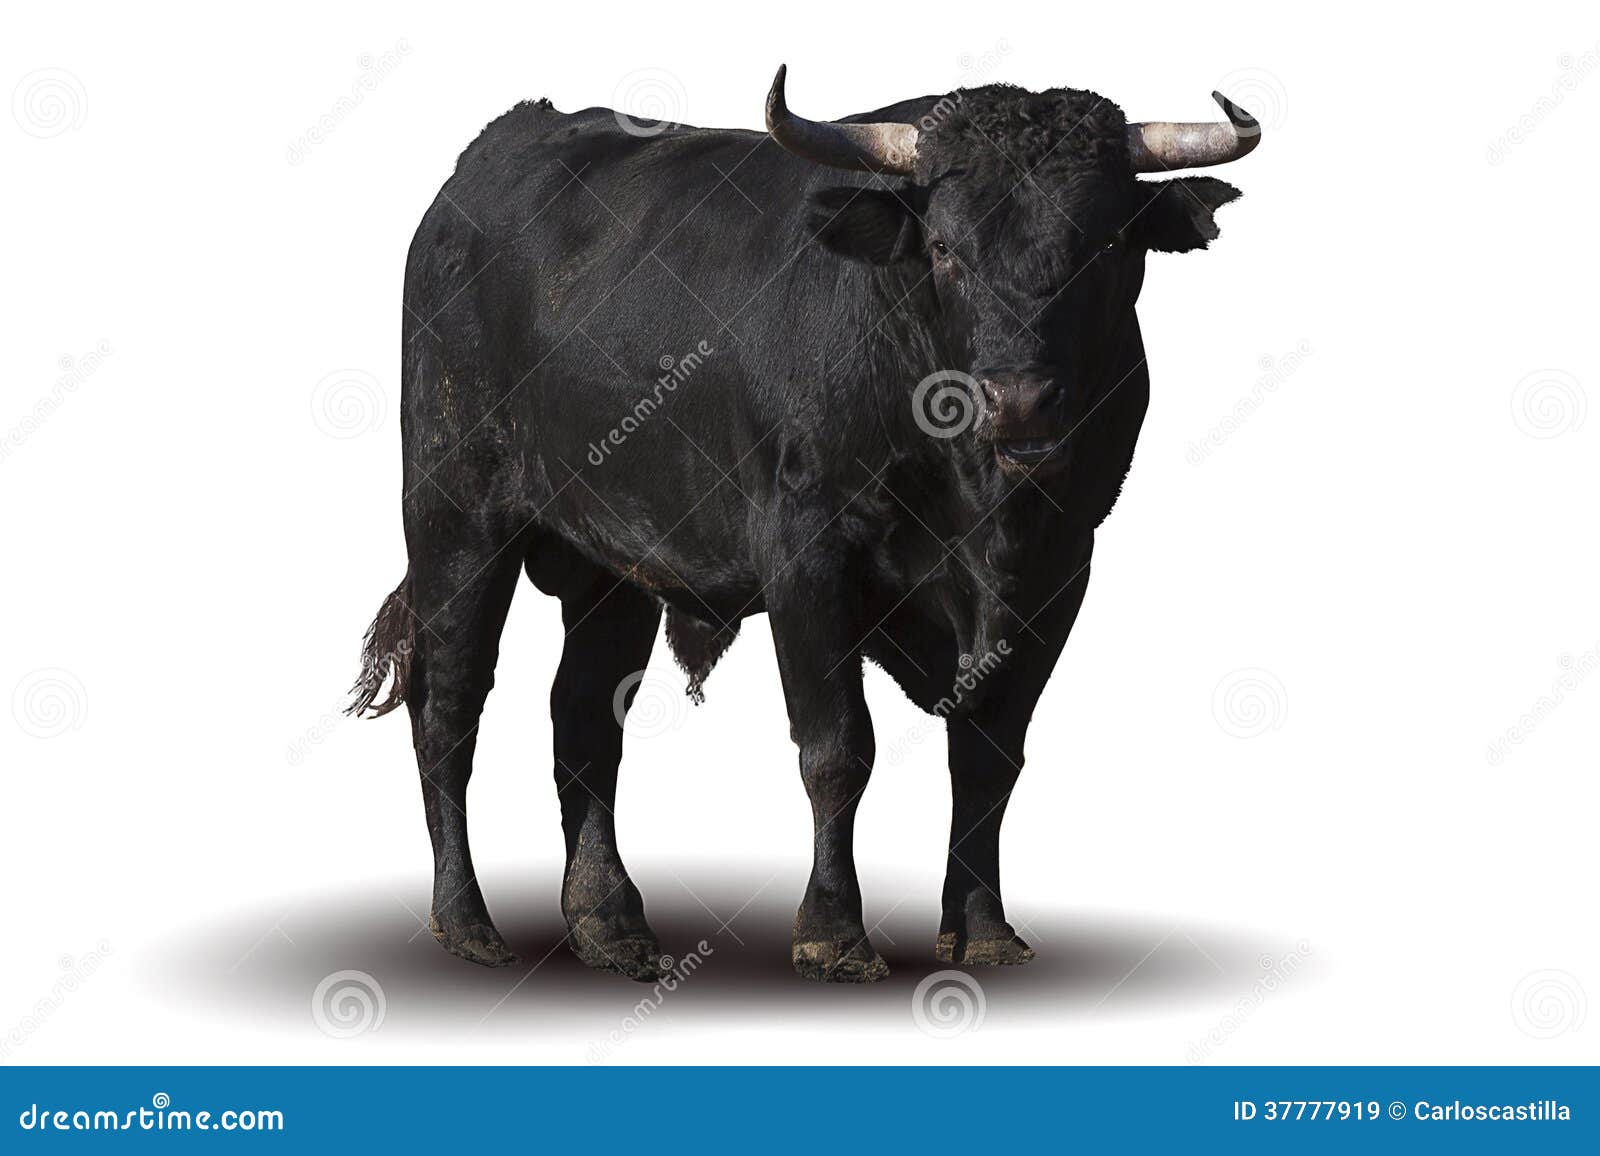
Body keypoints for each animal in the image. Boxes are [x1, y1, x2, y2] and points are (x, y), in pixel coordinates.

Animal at [348, 65, 1260, 982]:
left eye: (1107, 247)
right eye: (943, 248)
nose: (1021, 401)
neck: (980, 503)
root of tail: (494, 153)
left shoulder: (1059, 570)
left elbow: (991, 754)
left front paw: (983, 929)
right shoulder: (807, 558)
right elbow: (836, 749)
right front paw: (833, 931)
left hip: (613, 561)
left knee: (583, 718)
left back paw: (610, 923)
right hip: (454, 516)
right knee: (450, 705)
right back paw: (467, 921)